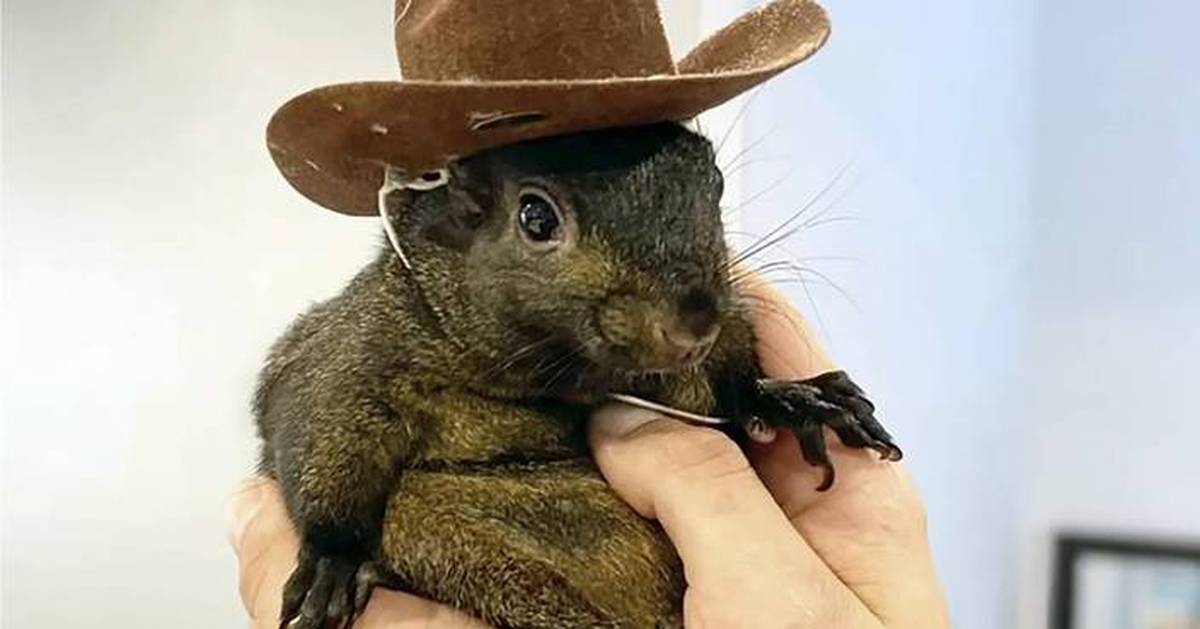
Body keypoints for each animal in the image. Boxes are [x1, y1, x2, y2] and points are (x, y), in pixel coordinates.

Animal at [254, 121, 902, 629]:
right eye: (535, 217)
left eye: (714, 183)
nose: (696, 320)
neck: (561, 375)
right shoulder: (354, 352)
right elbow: (319, 430)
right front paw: (332, 561)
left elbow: (733, 383)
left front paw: (793, 398)